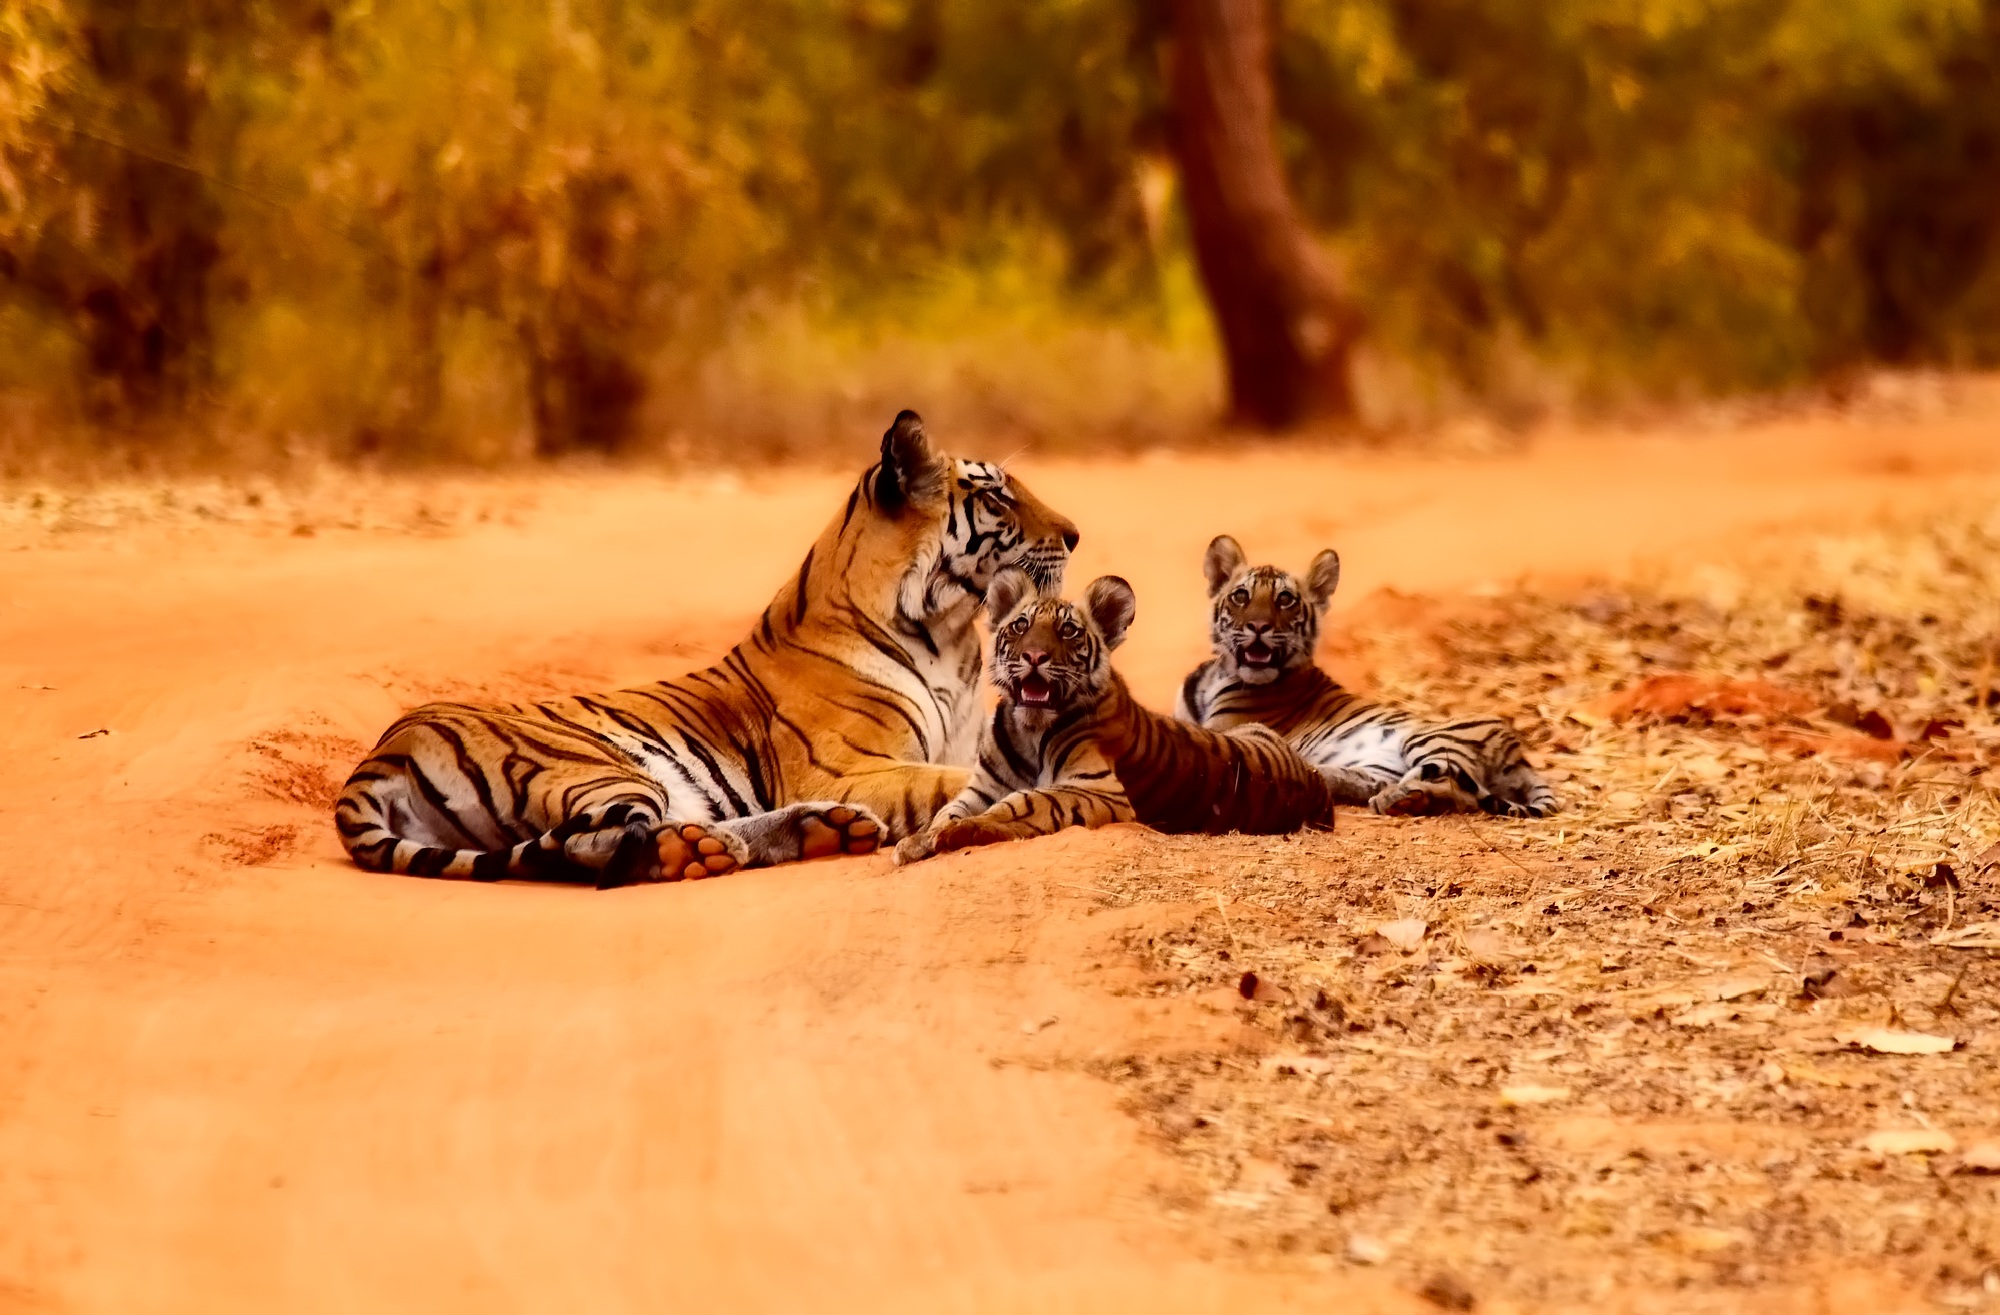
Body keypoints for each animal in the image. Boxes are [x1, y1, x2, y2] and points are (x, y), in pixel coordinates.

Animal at [335, 410, 1080, 887]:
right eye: (998, 497)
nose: (1074, 534)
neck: (950, 634)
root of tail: (381, 753)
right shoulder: (847, 766)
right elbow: (952, 782)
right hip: (598, 767)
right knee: (592, 847)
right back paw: (710, 850)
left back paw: (818, 833)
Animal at [894, 567, 1333, 864]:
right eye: (1020, 625)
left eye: (1068, 631)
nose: (1034, 656)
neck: (1029, 730)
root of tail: (1313, 778)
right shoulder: (982, 786)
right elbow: (947, 810)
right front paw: (917, 842)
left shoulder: (1099, 788)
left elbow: (1024, 801)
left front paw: (961, 832)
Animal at [1174, 535, 1558, 818]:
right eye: (1241, 596)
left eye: (1285, 600)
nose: (1258, 626)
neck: (1219, 673)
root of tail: (1519, 754)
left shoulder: (1225, 730)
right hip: (1379, 765)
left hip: (1431, 739)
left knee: (1457, 791)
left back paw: (1398, 799)